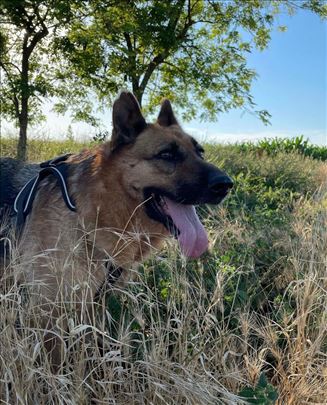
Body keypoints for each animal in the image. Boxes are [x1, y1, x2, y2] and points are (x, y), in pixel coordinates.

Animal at [0, 91, 233, 366]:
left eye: (200, 152)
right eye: (166, 155)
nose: (226, 184)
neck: (87, 212)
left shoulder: (93, 305)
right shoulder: (48, 314)